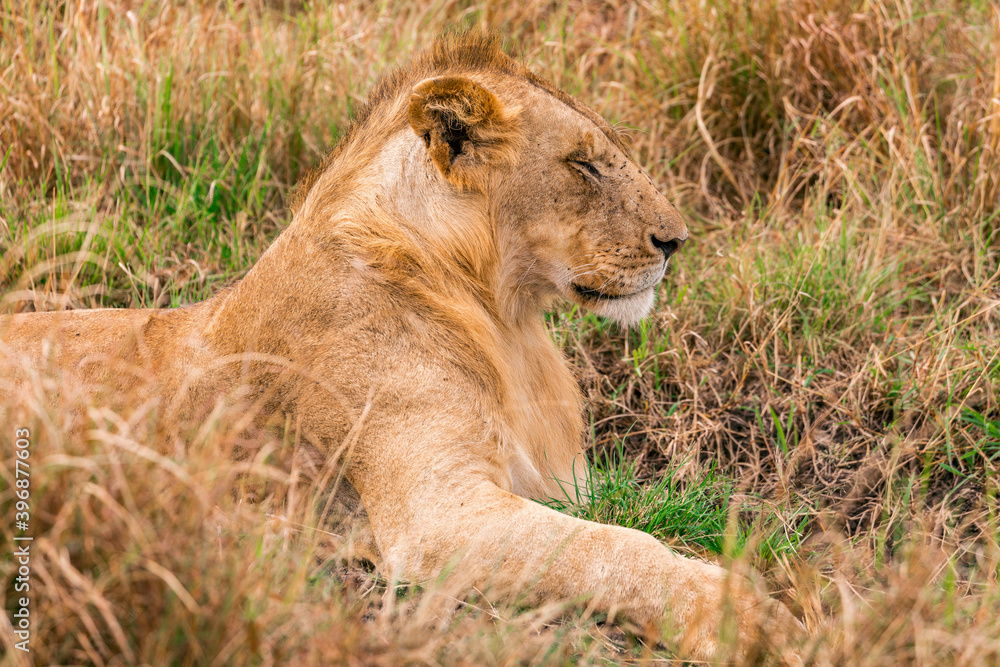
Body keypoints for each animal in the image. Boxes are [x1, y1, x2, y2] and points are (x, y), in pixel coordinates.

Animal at [0, 33, 801, 661]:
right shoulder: (435, 515)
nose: (677, 241)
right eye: (583, 164)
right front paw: (748, 619)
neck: (503, 317)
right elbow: (614, 547)